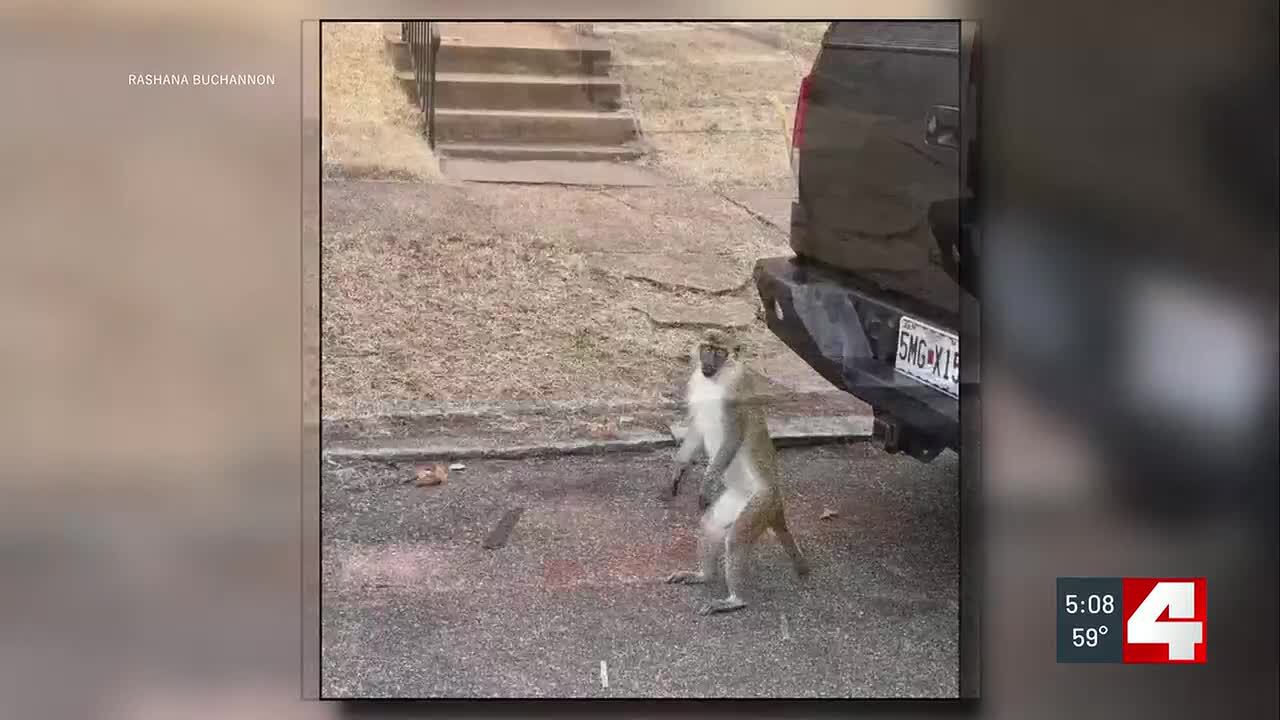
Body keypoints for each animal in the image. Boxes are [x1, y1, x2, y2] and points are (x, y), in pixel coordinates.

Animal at [664, 329, 810, 615]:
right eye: (707, 348)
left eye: (720, 352)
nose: (708, 362)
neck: (716, 380)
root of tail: (777, 501)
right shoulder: (696, 384)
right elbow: (697, 427)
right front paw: (680, 467)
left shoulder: (735, 395)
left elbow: (732, 438)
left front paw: (707, 482)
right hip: (739, 499)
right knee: (710, 525)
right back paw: (703, 576)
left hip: (760, 503)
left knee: (736, 539)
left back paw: (736, 600)